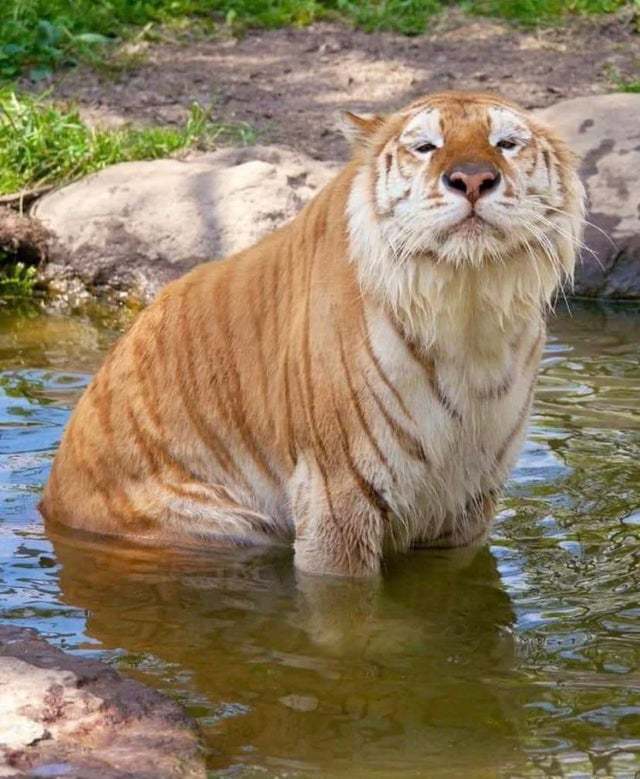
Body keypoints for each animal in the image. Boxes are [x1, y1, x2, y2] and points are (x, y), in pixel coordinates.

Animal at [40, 91, 585, 577]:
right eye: (426, 146)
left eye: (506, 144)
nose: (472, 179)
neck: (467, 303)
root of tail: (50, 500)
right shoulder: (340, 491)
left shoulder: (466, 502)